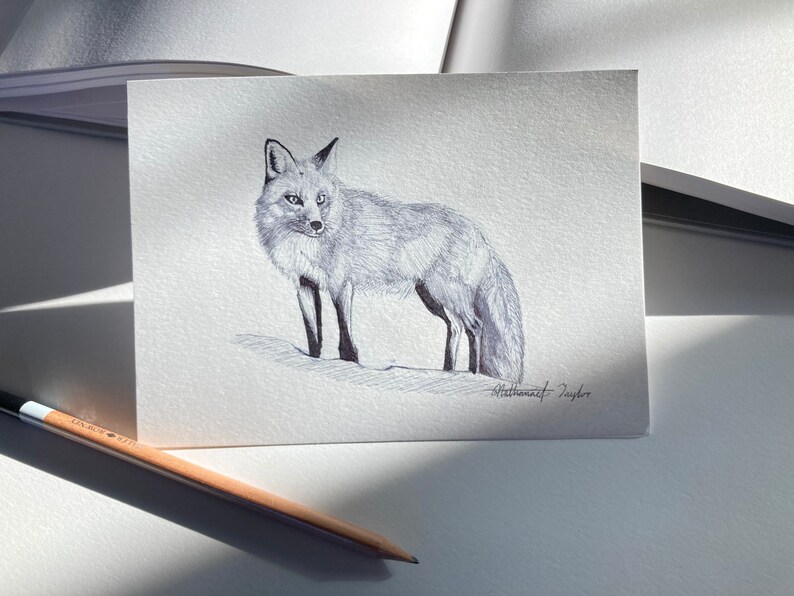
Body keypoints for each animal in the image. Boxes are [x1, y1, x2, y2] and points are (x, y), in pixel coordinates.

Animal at [254, 138, 525, 383]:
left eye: (321, 199)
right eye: (293, 199)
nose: (316, 225)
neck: (303, 245)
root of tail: (480, 236)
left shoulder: (340, 284)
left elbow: (344, 331)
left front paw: (349, 362)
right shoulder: (305, 284)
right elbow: (313, 334)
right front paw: (314, 361)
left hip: (447, 293)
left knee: (476, 326)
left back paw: (472, 374)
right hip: (432, 297)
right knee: (455, 327)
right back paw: (447, 371)